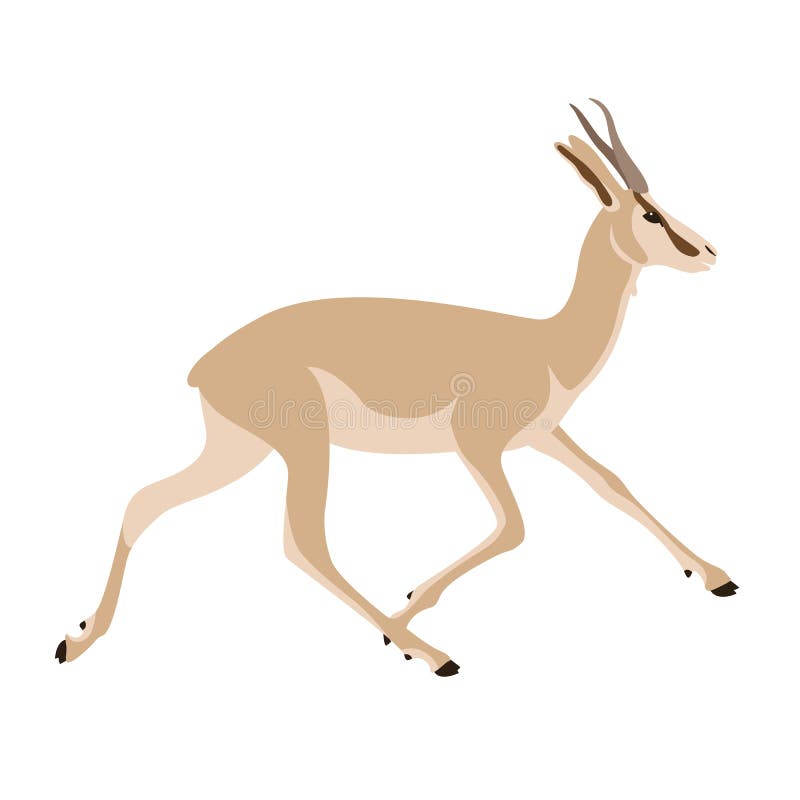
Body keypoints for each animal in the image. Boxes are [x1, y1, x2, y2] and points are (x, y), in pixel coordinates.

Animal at [55, 100, 737, 676]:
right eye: (649, 212)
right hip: (303, 448)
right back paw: (427, 654)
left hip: (238, 450)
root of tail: (205, 364)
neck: (548, 344)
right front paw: (407, 605)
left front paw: (716, 576)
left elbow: (613, 483)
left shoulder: (543, 436)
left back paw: (76, 639)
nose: (708, 250)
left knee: (144, 502)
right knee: (303, 543)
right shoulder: (476, 444)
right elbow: (515, 527)